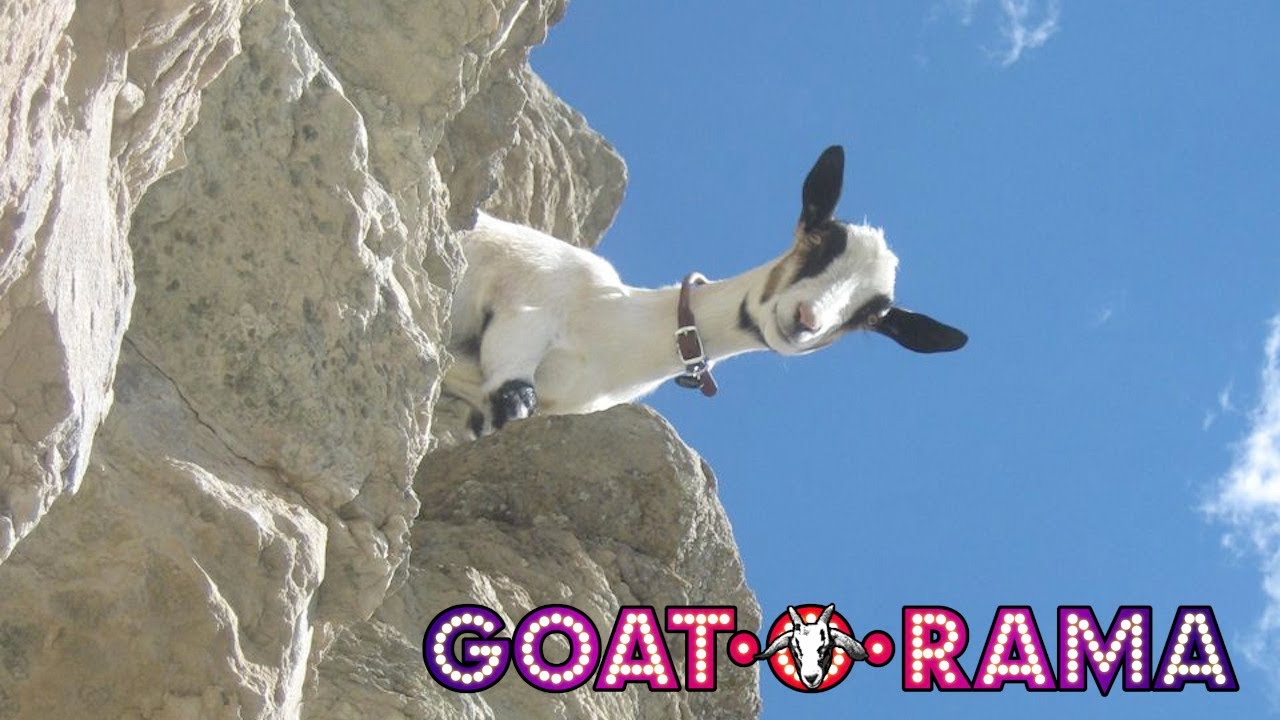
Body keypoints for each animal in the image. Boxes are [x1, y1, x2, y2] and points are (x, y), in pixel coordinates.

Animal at [444, 145, 966, 434]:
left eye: (872, 317)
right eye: (819, 241)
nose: (805, 320)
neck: (611, 332)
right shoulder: (525, 314)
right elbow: (515, 397)